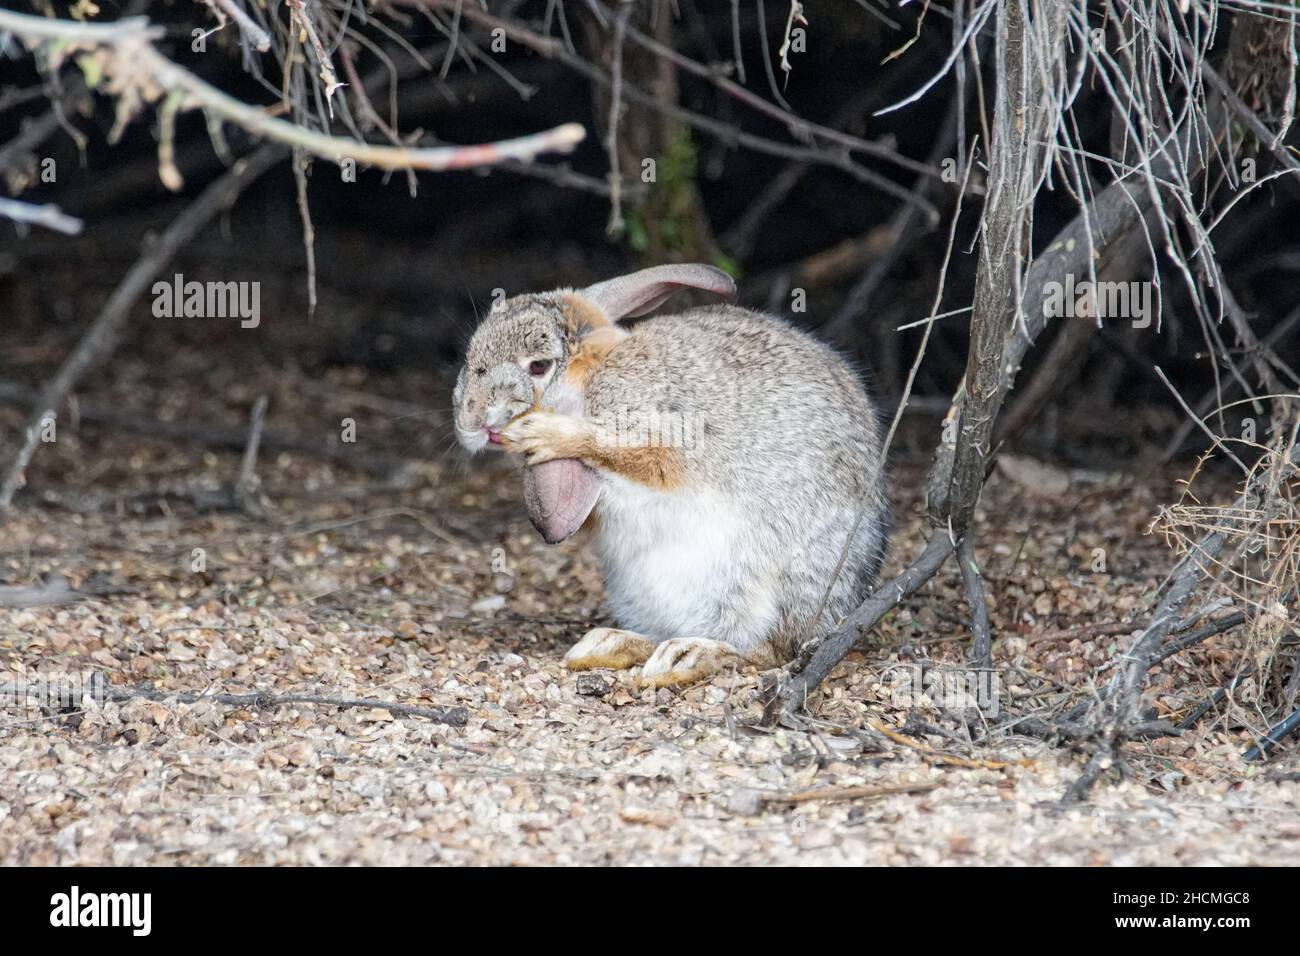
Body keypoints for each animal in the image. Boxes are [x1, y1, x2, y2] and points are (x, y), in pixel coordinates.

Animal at [453, 264, 890, 687]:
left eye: (538, 366)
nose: (470, 421)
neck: (588, 377)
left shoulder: (671, 435)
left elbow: (635, 454)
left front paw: (542, 433)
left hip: (784, 583)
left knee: (769, 650)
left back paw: (686, 656)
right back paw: (610, 644)